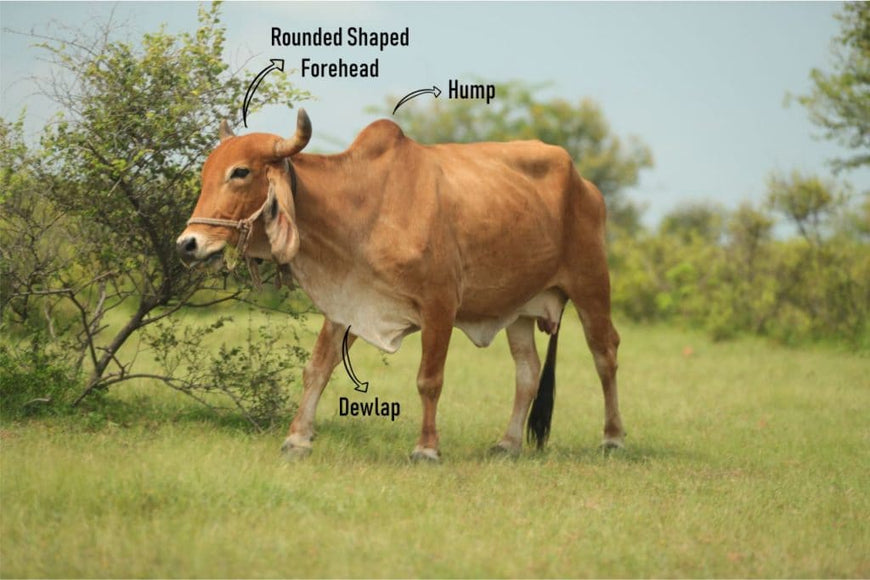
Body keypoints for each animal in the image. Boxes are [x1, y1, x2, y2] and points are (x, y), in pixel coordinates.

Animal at [176, 108, 625, 461]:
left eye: (240, 172)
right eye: (205, 173)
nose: (188, 244)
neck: (363, 208)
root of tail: (586, 185)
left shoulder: (440, 304)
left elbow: (429, 380)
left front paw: (426, 448)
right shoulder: (347, 304)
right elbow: (317, 368)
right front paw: (297, 439)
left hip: (591, 285)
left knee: (605, 354)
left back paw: (613, 438)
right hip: (518, 307)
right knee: (528, 371)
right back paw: (508, 443)